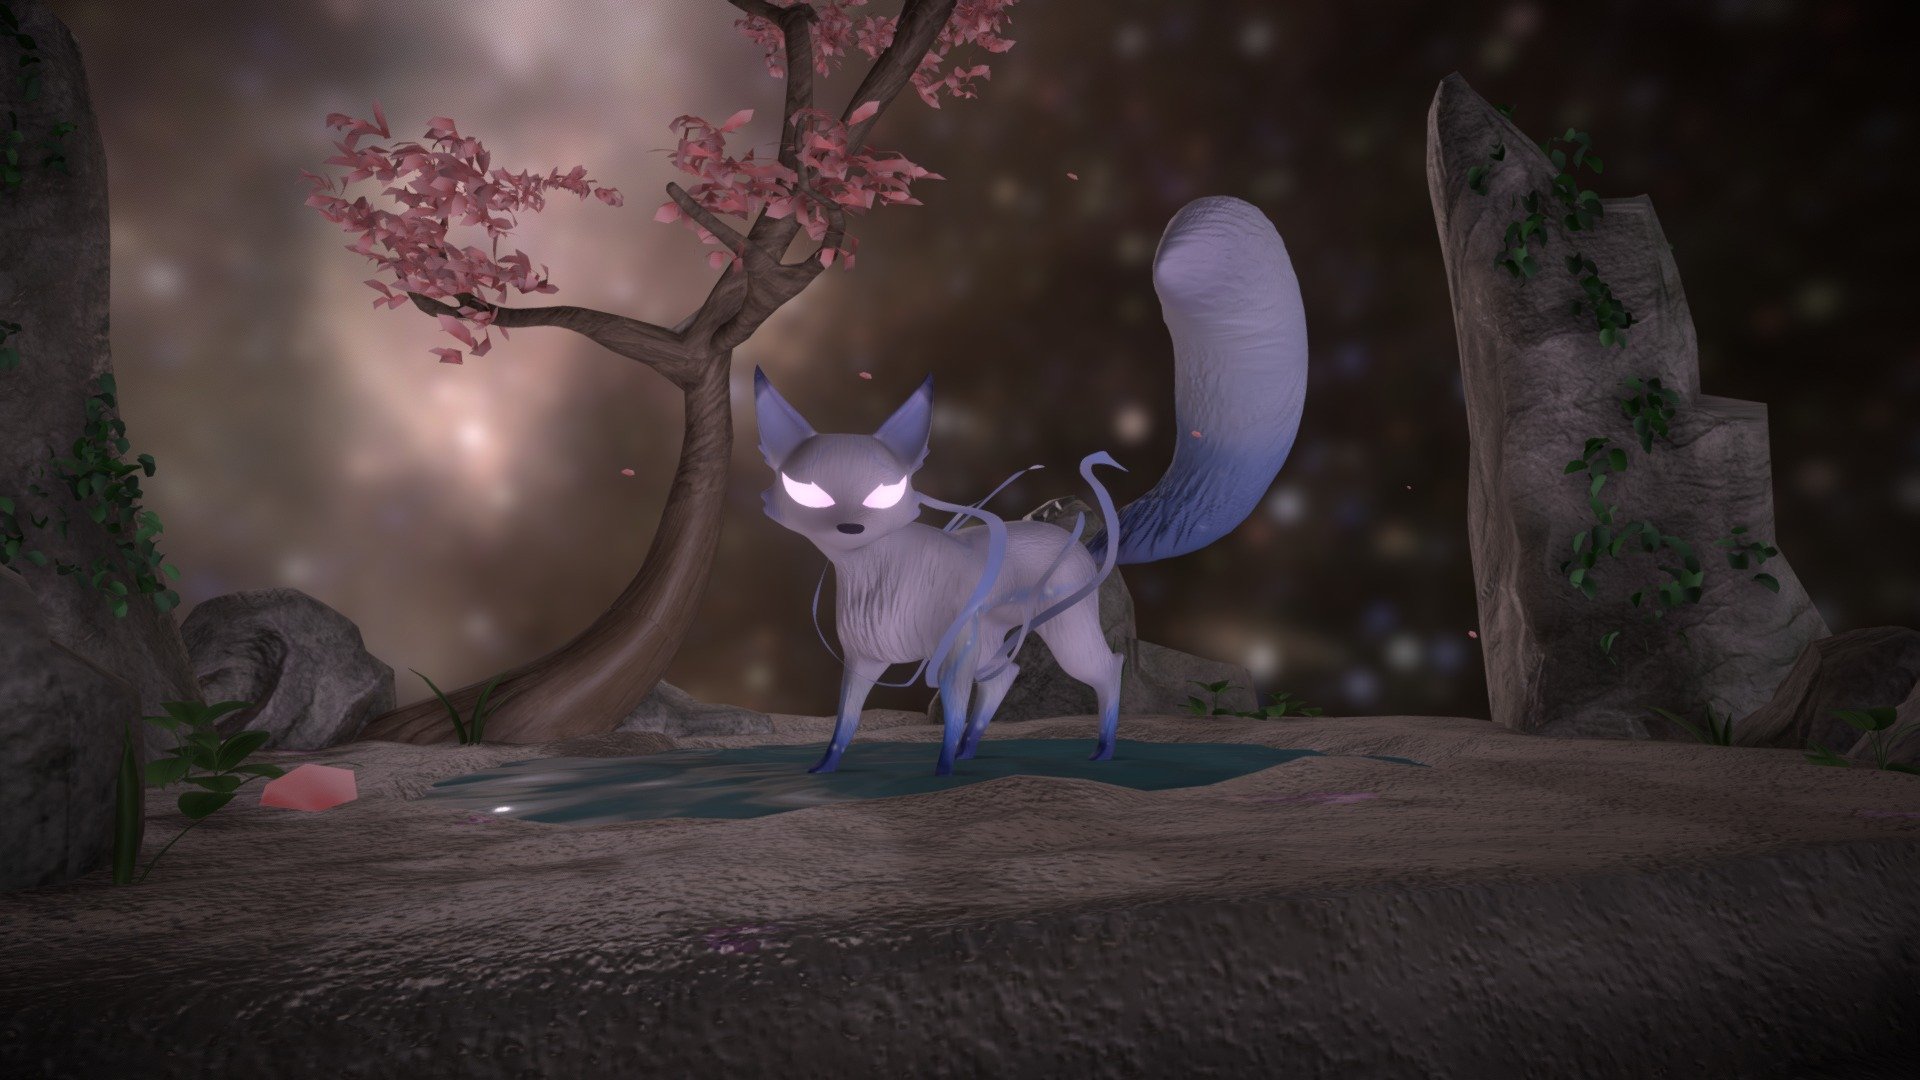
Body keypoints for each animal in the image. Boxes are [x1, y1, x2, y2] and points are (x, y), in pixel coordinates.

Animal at [754, 195, 1309, 777]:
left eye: (887, 491)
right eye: (807, 491)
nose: (850, 525)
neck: (873, 572)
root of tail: (1074, 539)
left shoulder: (955, 649)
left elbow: (949, 710)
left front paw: (942, 772)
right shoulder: (864, 660)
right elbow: (846, 719)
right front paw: (825, 768)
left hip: (1063, 630)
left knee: (1106, 666)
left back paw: (1100, 749)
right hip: (1000, 632)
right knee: (1007, 676)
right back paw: (976, 749)